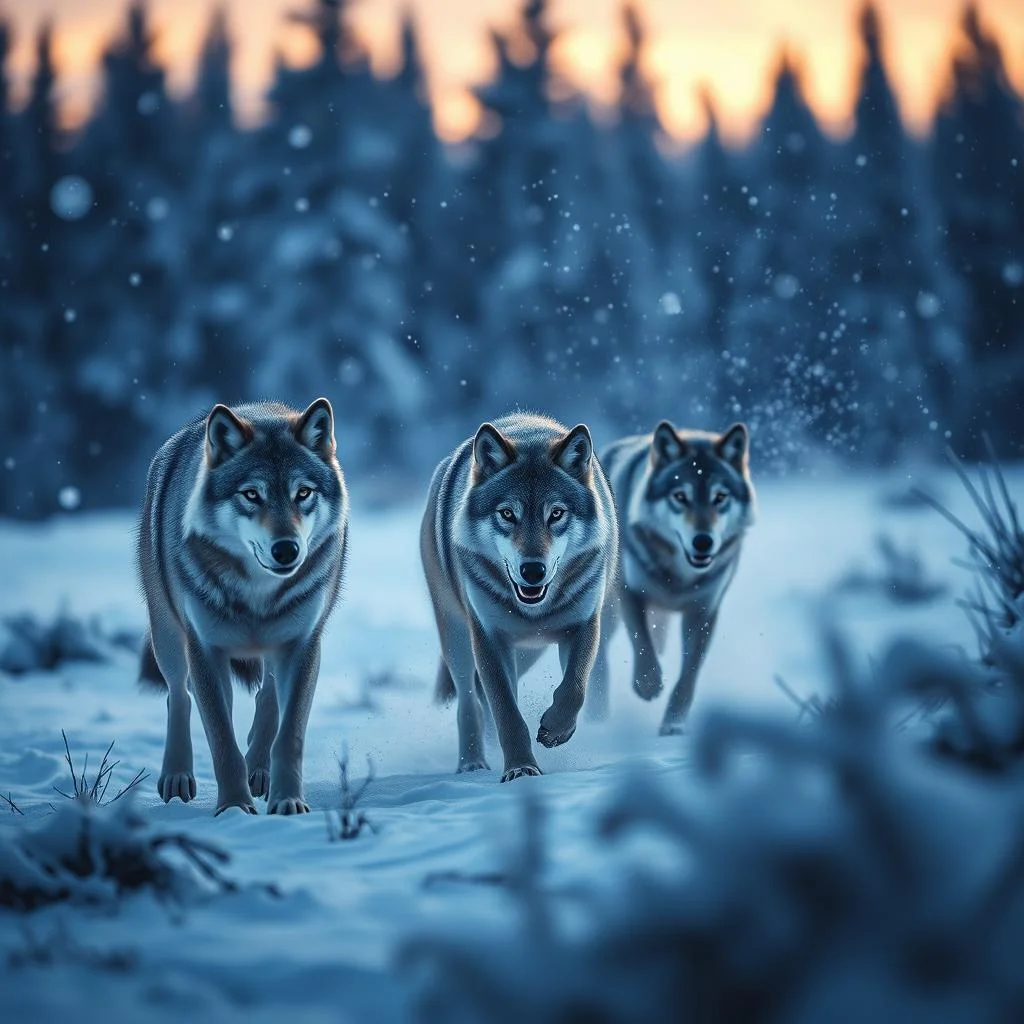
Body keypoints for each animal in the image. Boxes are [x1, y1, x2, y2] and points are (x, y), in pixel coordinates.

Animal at [137, 399, 348, 815]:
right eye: (252, 495)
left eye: (303, 493)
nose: (287, 550)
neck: (258, 593)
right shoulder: (205, 649)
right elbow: (222, 740)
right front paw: (234, 806)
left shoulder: (303, 644)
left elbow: (290, 735)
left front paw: (288, 801)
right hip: (167, 635)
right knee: (178, 695)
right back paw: (177, 776)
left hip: (277, 647)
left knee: (267, 699)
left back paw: (259, 771)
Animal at [421, 413, 618, 781]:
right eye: (507, 514)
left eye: (556, 514)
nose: (533, 571)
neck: (536, 611)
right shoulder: (488, 638)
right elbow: (507, 712)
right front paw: (520, 769)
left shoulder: (585, 624)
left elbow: (575, 688)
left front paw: (555, 730)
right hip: (458, 639)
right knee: (470, 699)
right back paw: (472, 763)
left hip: (529, 653)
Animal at [588, 421, 755, 735]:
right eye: (680, 496)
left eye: (720, 497)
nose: (703, 542)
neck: (681, 577)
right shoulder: (630, 592)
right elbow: (641, 641)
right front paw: (648, 684)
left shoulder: (704, 611)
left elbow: (689, 673)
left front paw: (674, 724)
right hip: (608, 610)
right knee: (599, 655)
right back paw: (597, 715)